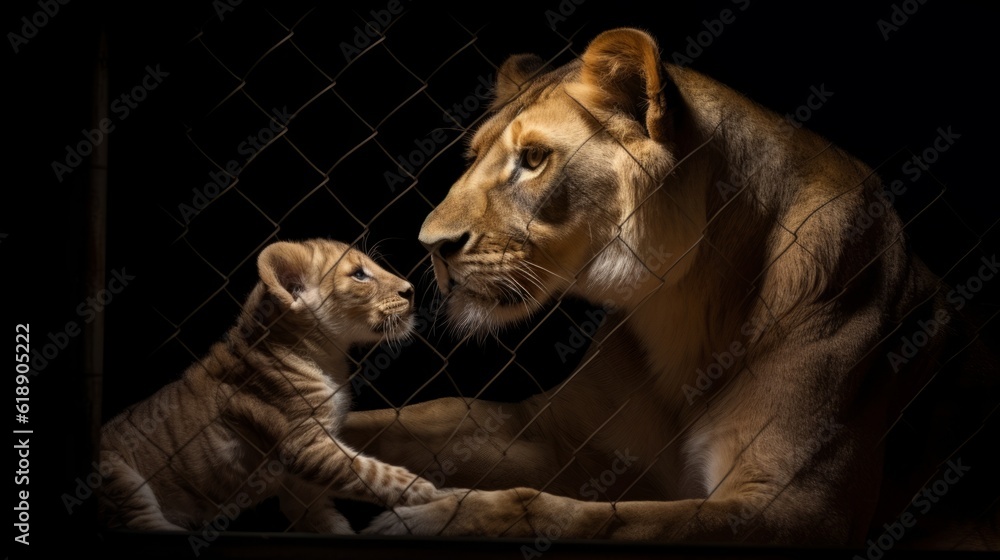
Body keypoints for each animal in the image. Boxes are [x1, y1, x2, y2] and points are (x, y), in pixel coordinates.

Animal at [345, 28, 998, 548]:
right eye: (473, 157)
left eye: (532, 159)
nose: (431, 245)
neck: (684, 309)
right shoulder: (547, 434)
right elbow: (416, 417)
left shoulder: (798, 509)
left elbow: (596, 519)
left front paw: (433, 520)